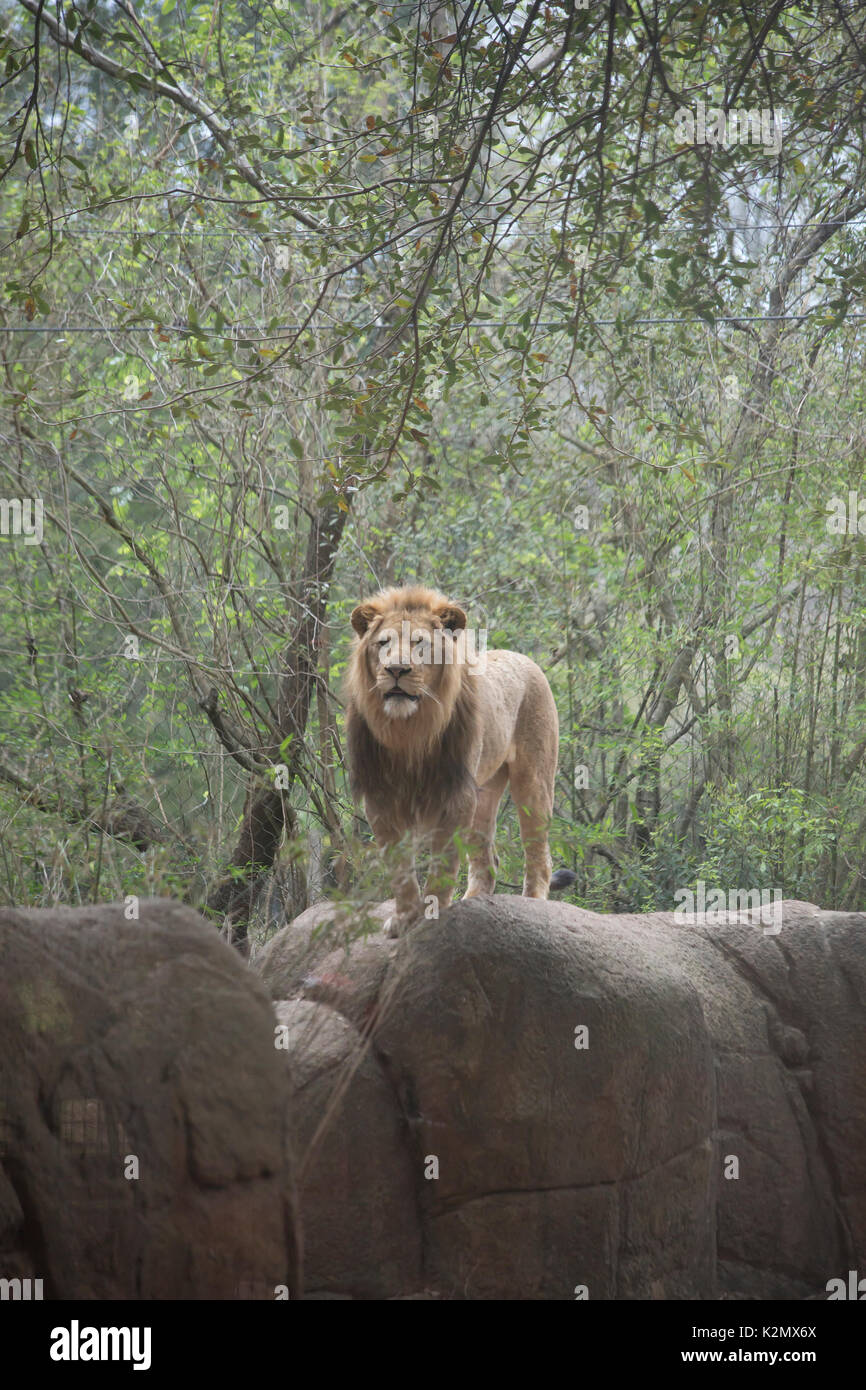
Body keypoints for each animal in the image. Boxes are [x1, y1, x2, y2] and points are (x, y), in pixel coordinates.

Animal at [345, 585, 560, 937]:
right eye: (383, 643)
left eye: (420, 644)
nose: (396, 670)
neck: (408, 730)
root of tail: (522, 657)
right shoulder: (380, 798)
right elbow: (400, 870)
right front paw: (404, 918)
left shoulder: (454, 794)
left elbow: (443, 863)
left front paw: (431, 913)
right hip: (483, 791)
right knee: (487, 859)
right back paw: (472, 902)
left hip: (534, 780)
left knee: (538, 850)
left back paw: (534, 903)